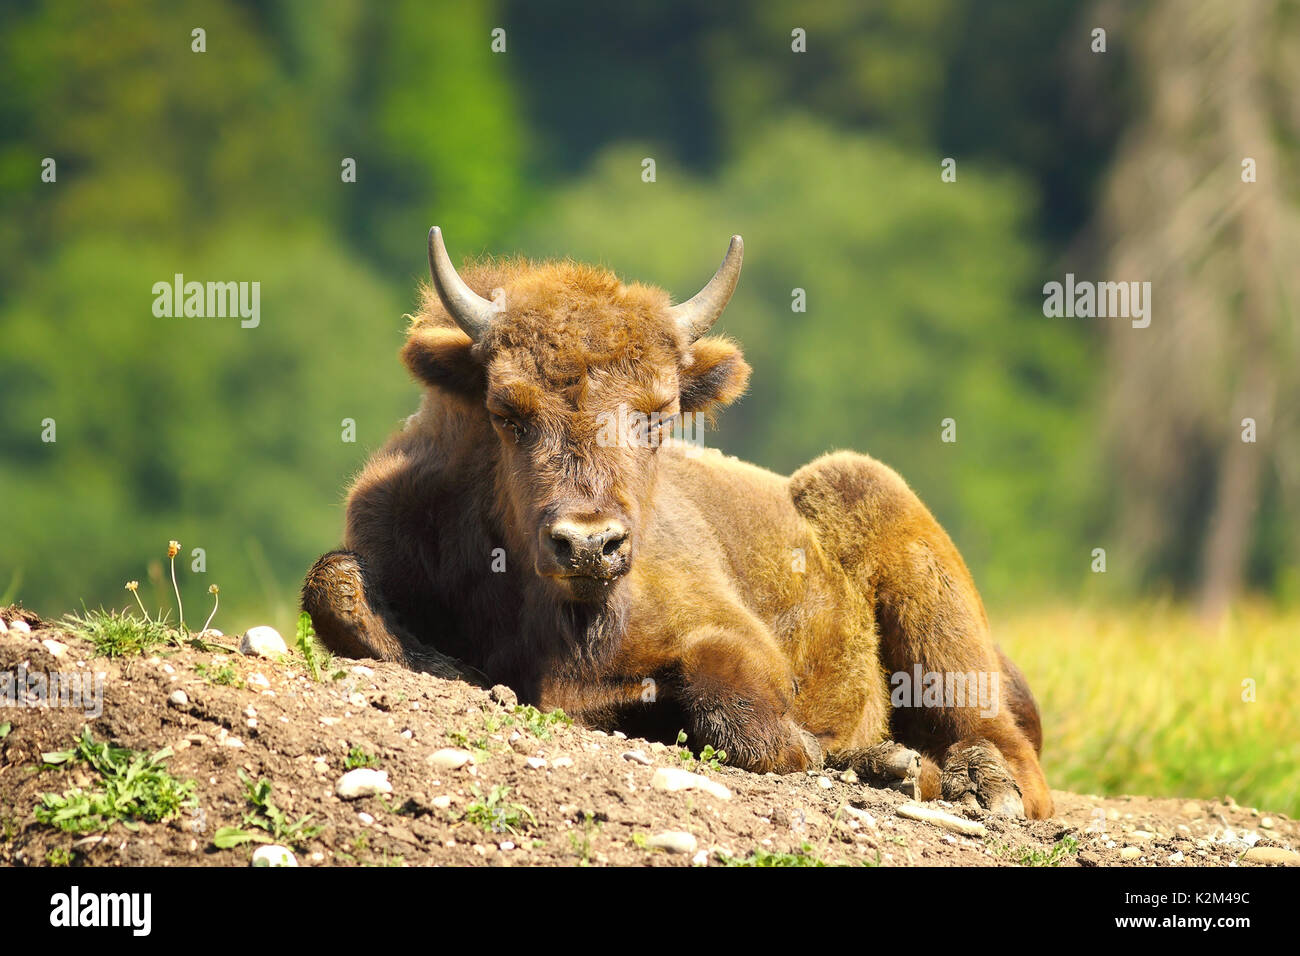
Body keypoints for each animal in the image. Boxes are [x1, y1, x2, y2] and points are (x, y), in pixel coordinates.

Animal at [302, 228, 1054, 818]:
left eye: (658, 414)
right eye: (506, 411)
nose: (589, 544)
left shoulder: (728, 631)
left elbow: (737, 707)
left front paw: (826, 749)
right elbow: (335, 586)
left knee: (999, 741)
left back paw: (972, 785)